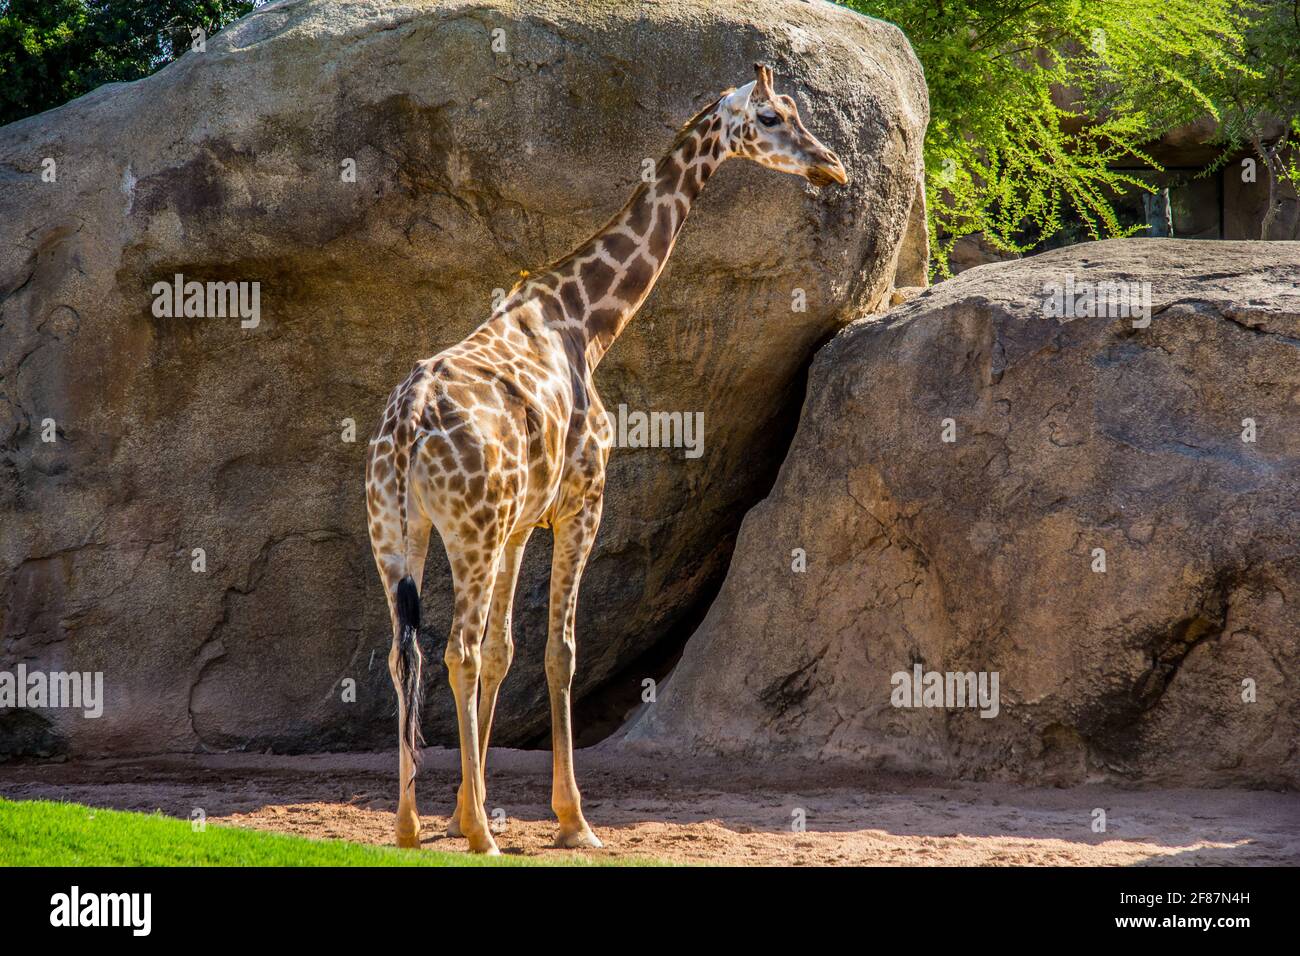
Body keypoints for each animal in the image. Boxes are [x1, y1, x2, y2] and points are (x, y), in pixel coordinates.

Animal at [365, 64, 847, 854]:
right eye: (774, 116)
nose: (832, 166)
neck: (586, 321)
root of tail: (407, 424)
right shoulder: (581, 504)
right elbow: (558, 652)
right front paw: (571, 821)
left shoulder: (521, 523)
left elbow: (504, 651)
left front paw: (466, 810)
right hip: (467, 532)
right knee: (454, 649)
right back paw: (483, 839)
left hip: (400, 534)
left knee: (408, 653)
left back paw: (409, 827)